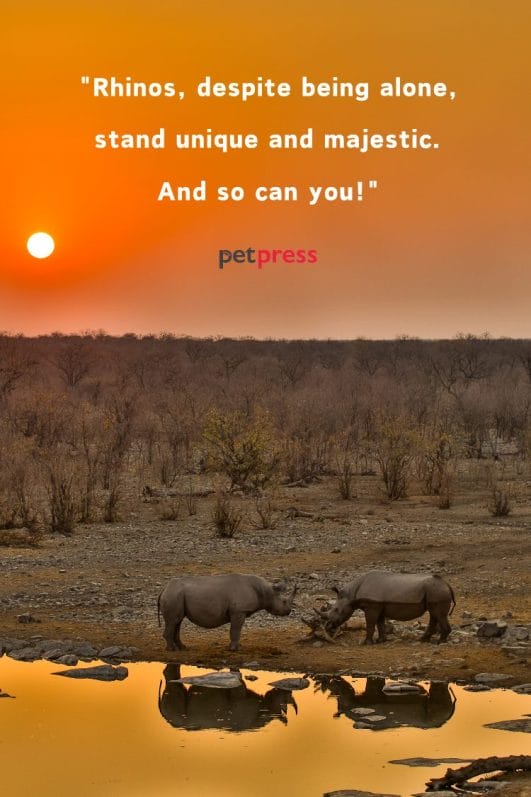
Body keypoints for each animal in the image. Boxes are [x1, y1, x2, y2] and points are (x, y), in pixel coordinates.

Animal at [158, 574, 297, 651]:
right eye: (284, 601)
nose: (289, 611)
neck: (265, 590)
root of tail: (164, 589)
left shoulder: (238, 612)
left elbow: (235, 630)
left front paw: (236, 647)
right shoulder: (238, 611)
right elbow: (235, 630)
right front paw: (234, 649)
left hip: (176, 595)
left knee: (178, 621)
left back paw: (183, 648)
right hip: (174, 595)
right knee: (174, 621)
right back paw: (172, 650)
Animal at [318, 571, 455, 644]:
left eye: (336, 610)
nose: (328, 626)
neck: (351, 594)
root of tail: (446, 584)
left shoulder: (372, 606)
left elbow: (370, 624)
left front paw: (366, 643)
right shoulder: (378, 606)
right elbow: (380, 624)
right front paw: (381, 640)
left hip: (436, 591)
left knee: (438, 614)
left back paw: (440, 642)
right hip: (435, 591)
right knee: (434, 614)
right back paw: (423, 640)